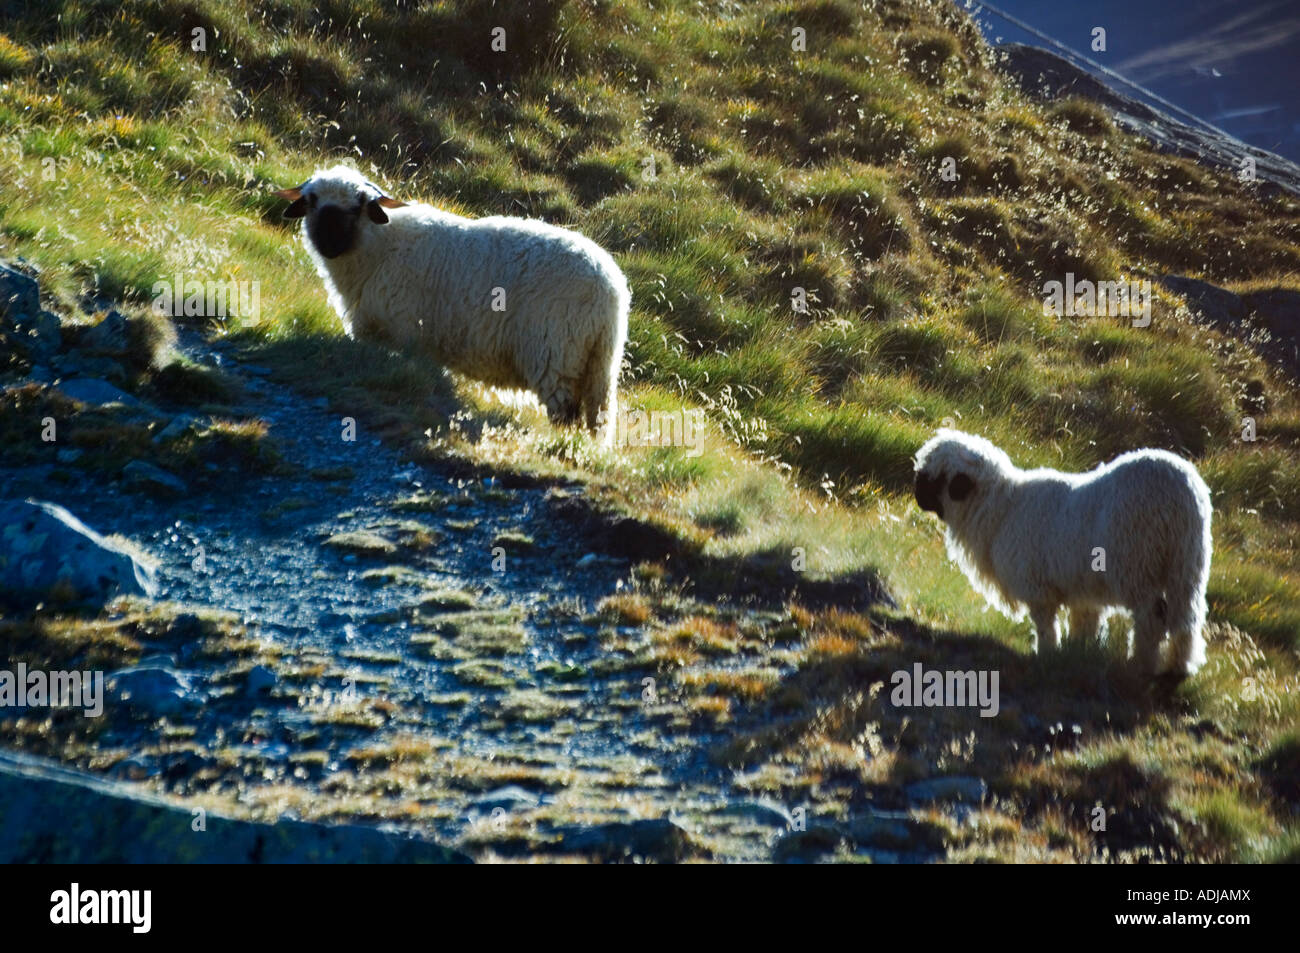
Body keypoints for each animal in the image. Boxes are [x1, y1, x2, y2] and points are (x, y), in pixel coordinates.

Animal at [276, 165, 628, 441]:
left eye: (357, 207)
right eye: (311, 202)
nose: (327, 244)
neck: (379, 246)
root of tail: (610, 288)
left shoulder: (402, 330)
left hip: (556, 353)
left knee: (565, 414)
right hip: (598, 362)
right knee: (595, 417)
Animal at [914, 429, 1213, 679]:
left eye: (932, 478)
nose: (916, 496)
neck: (1001, 510)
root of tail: (1181, 490)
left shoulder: (1037, 589)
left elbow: (1046, 625)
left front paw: (1047, 654)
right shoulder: (1085, 593)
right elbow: (1085, 625)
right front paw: (1078, 653)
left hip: (1138, 564)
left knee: (1153, 616)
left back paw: (1141, 665)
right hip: (1188, 565)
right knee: (1188, 618)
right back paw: (1179, 667)